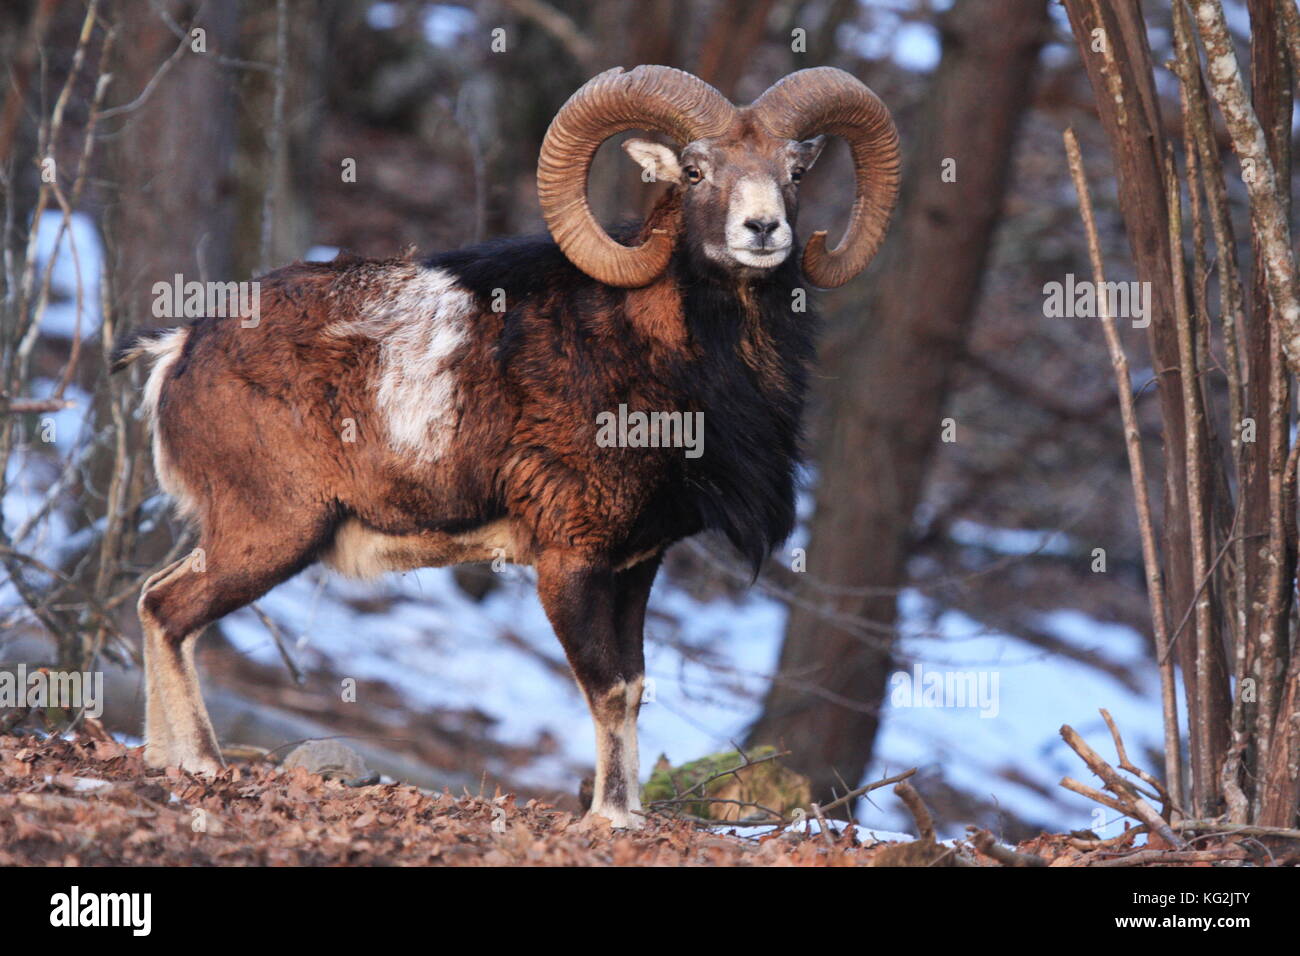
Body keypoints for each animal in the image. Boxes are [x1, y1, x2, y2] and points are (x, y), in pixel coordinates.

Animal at [113, 65, 899, 829]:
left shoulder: (637, 566)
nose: (763, 228)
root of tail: (178, 353)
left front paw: (629, 812)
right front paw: (613, 819)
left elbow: (634, 685)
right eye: (696, 171)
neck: (668, 363)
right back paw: (203, 764)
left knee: (154, 602)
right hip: (273, 533)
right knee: (170, 611)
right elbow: (607, 688)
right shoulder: (570, 561)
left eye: (793, 171)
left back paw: (165, 759)